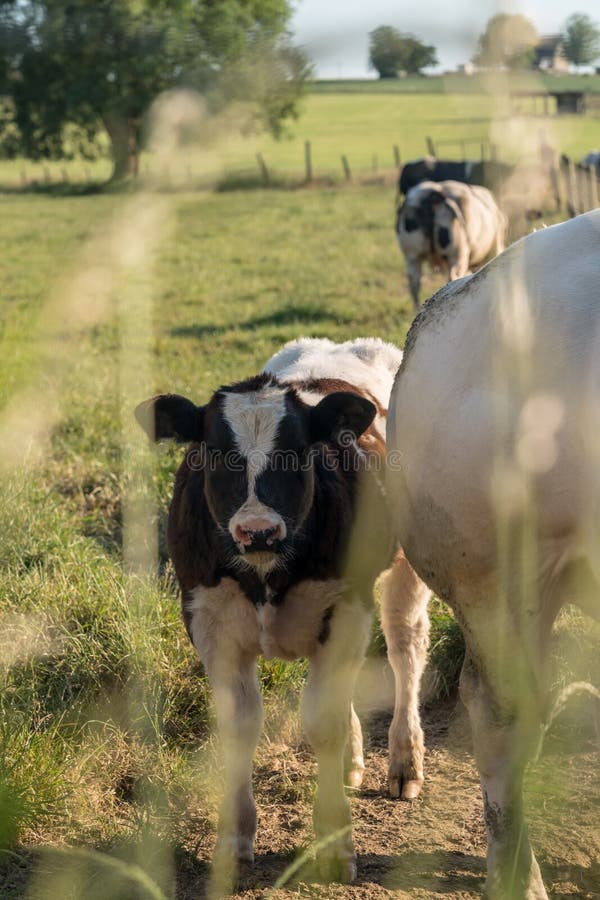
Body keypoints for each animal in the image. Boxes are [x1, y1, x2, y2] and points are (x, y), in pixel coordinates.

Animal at [135, 338, 431, 888]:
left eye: (295, 453)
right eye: (215, 453)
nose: (258, 531)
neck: (265, 576)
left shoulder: (347, 608)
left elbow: (324, 722)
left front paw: (334, 843)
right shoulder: (208, 623)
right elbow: (241, 726)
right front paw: (233, 839)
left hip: (408, 568)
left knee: (405, 650)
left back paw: (405, 761)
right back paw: (354, 761)